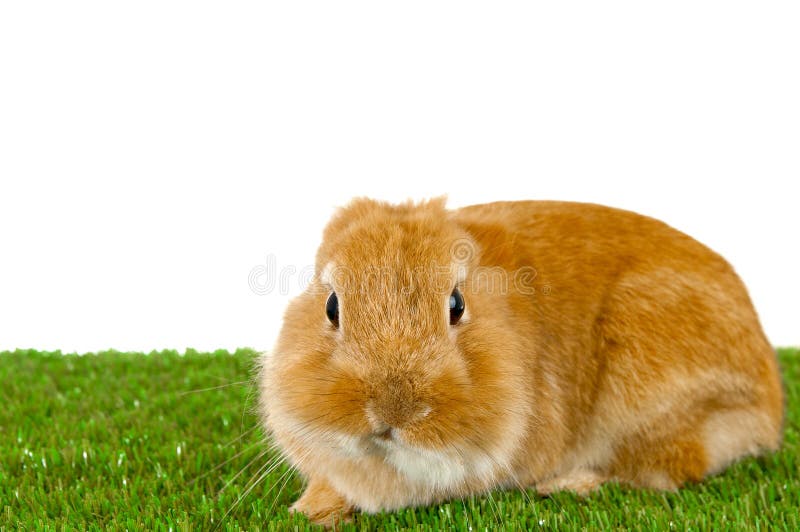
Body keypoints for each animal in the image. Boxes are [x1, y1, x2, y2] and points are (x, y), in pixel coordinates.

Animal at [258, 198, 784, 527]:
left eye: (456, 305)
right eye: (331, 306)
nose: (394, 409)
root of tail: (769, 405)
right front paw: (309, 511)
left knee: (669, 468)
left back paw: (567, 485)